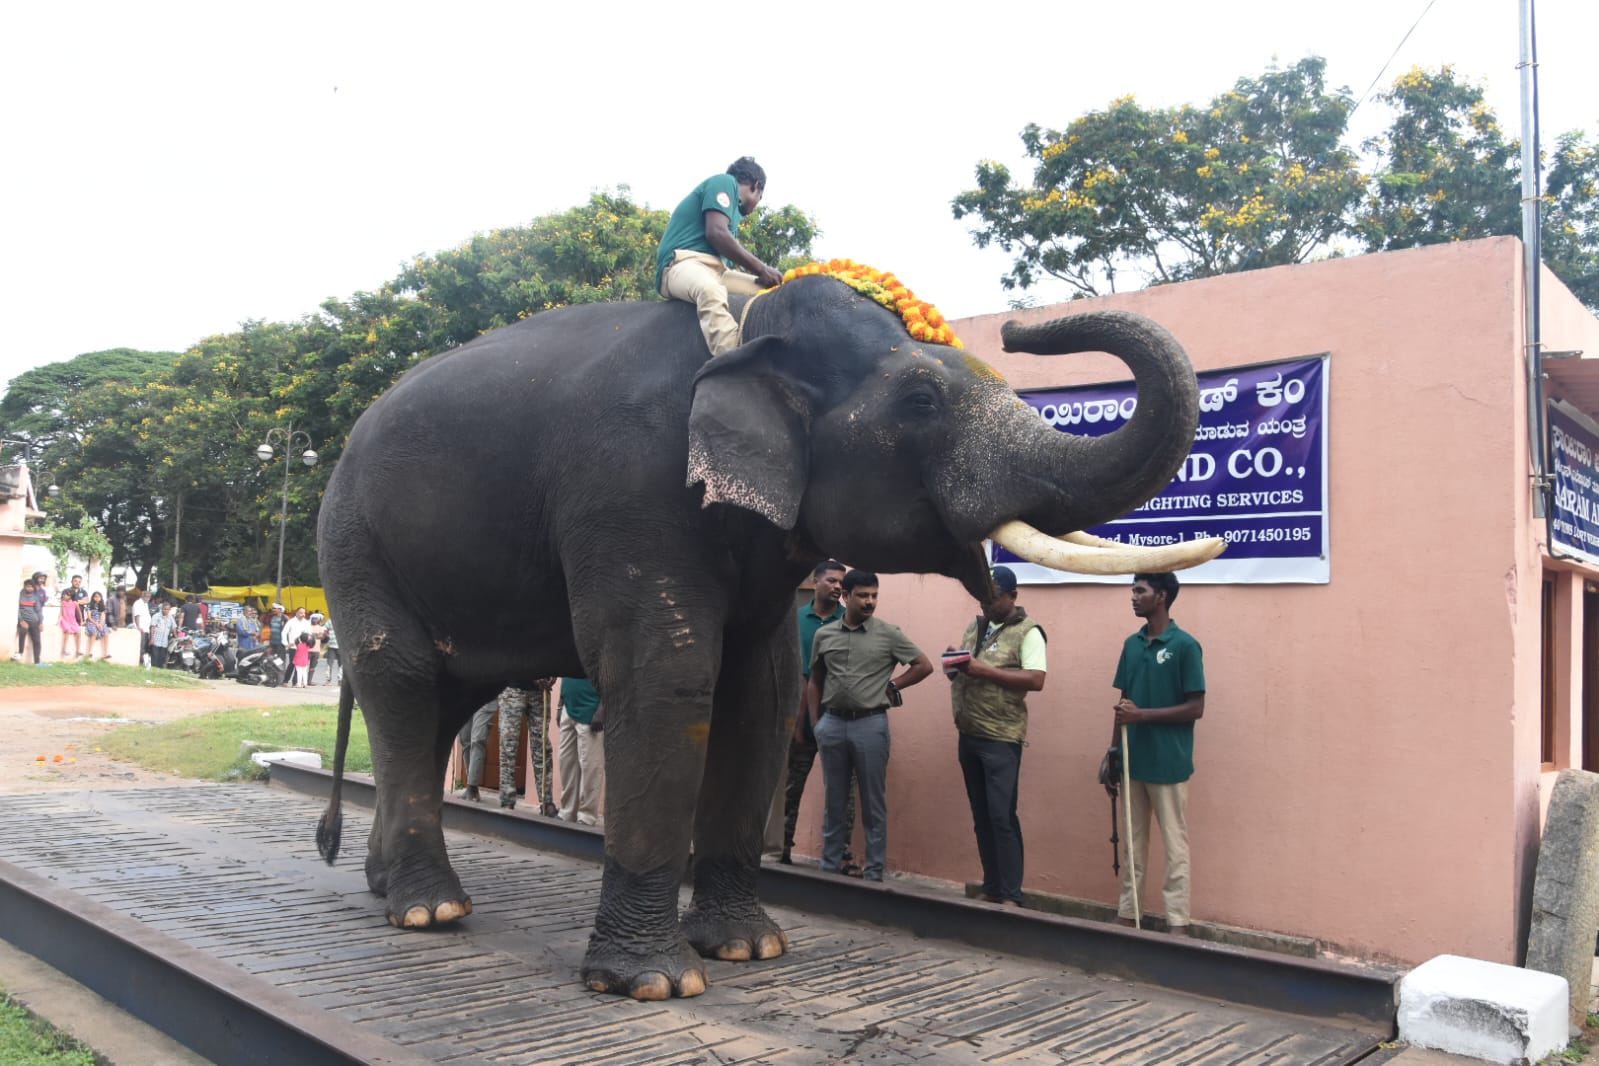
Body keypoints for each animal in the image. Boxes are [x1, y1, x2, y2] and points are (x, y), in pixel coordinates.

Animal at [314, 271, 1221, 1000]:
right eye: (921, 402)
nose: (1022, 329)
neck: (752, 328)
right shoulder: (626, 488)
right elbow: (670, 679)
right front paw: (654, 984)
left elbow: (763, 693)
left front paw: (750, 950)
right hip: (354, 542)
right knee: (400, 682)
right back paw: (431, 911)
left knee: (437, 704)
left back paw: (391, 888)